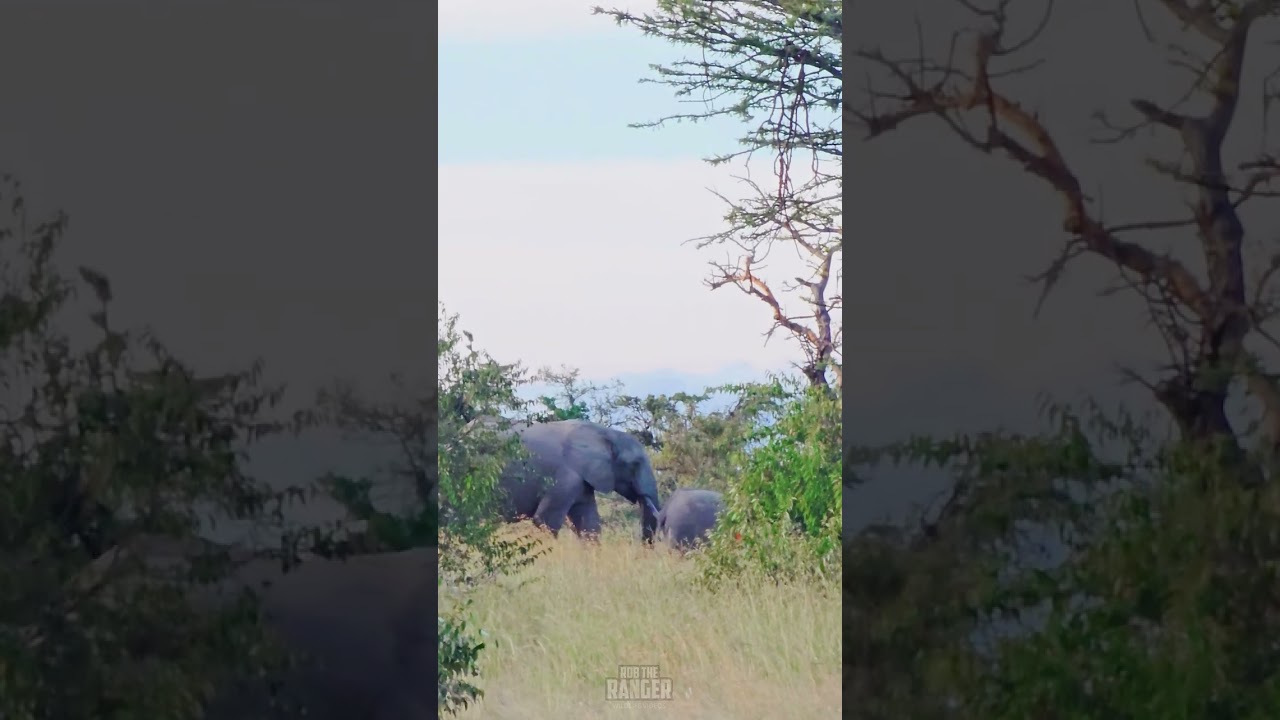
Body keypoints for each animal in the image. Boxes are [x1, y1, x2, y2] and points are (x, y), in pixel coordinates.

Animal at [494, 419, 662, 542]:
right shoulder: (566, 475)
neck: (605, 434)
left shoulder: (582, 478)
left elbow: (589, 523)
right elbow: (545, 520)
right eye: (635, 464)